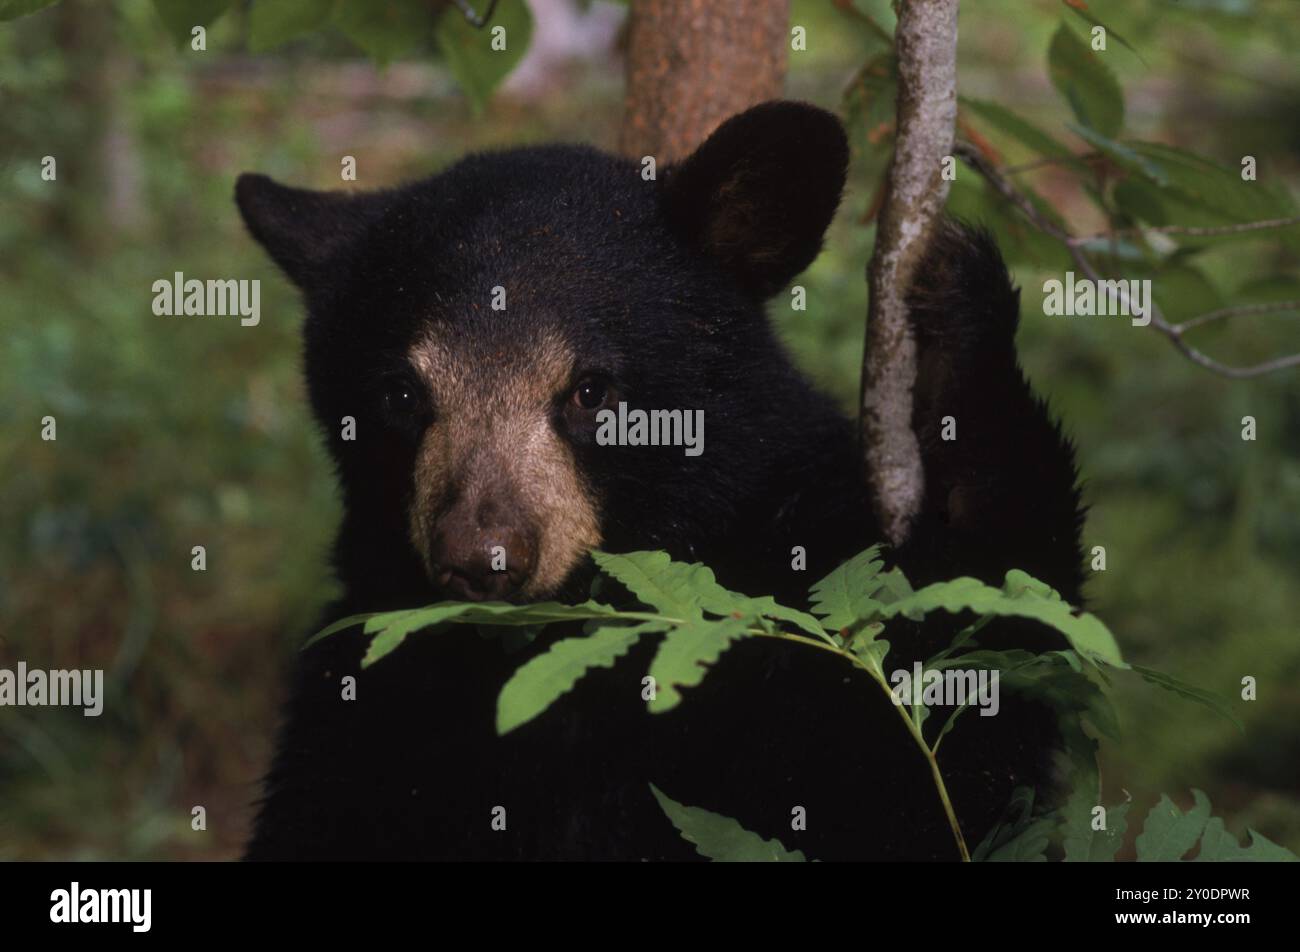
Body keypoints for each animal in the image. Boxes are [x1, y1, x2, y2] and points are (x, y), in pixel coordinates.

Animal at [235, 100, 1084, 861]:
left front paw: (958, 307)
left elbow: (962, 729)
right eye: (403, 395)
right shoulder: (364, 710)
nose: (480, 555)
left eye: (590, 390)